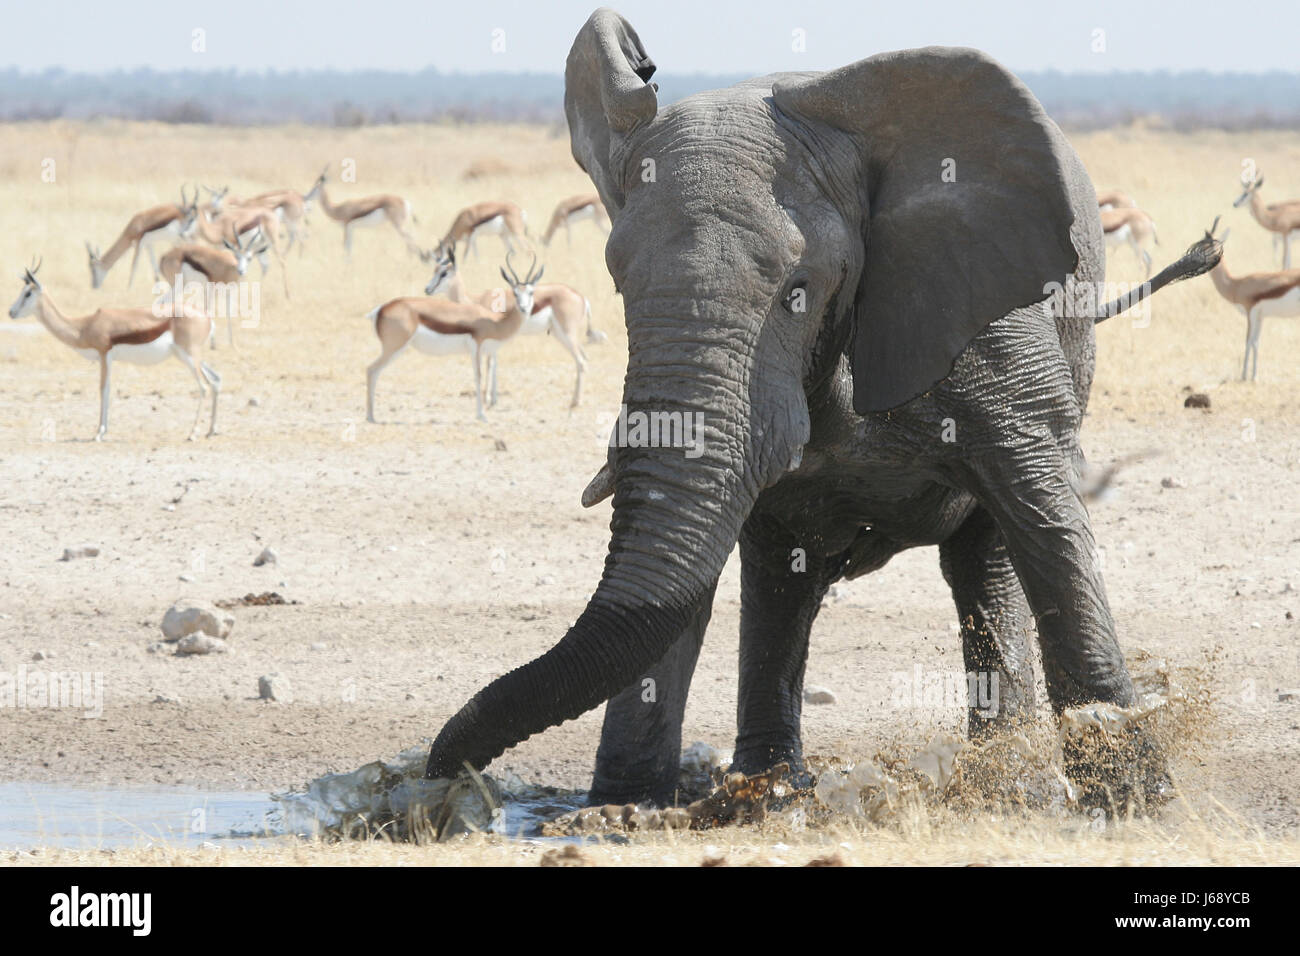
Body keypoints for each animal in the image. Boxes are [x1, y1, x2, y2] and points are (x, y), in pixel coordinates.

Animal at [424, 9, 1219, 811]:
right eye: (618, 283)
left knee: (984, 563)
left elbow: (1046, 520)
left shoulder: (988, 313)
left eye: (797, 290)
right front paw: (623, 807)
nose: (442, 775)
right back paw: (772, 786)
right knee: (783, 574)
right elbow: (685, 568)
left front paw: (1138, 805)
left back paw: (1005, 782)